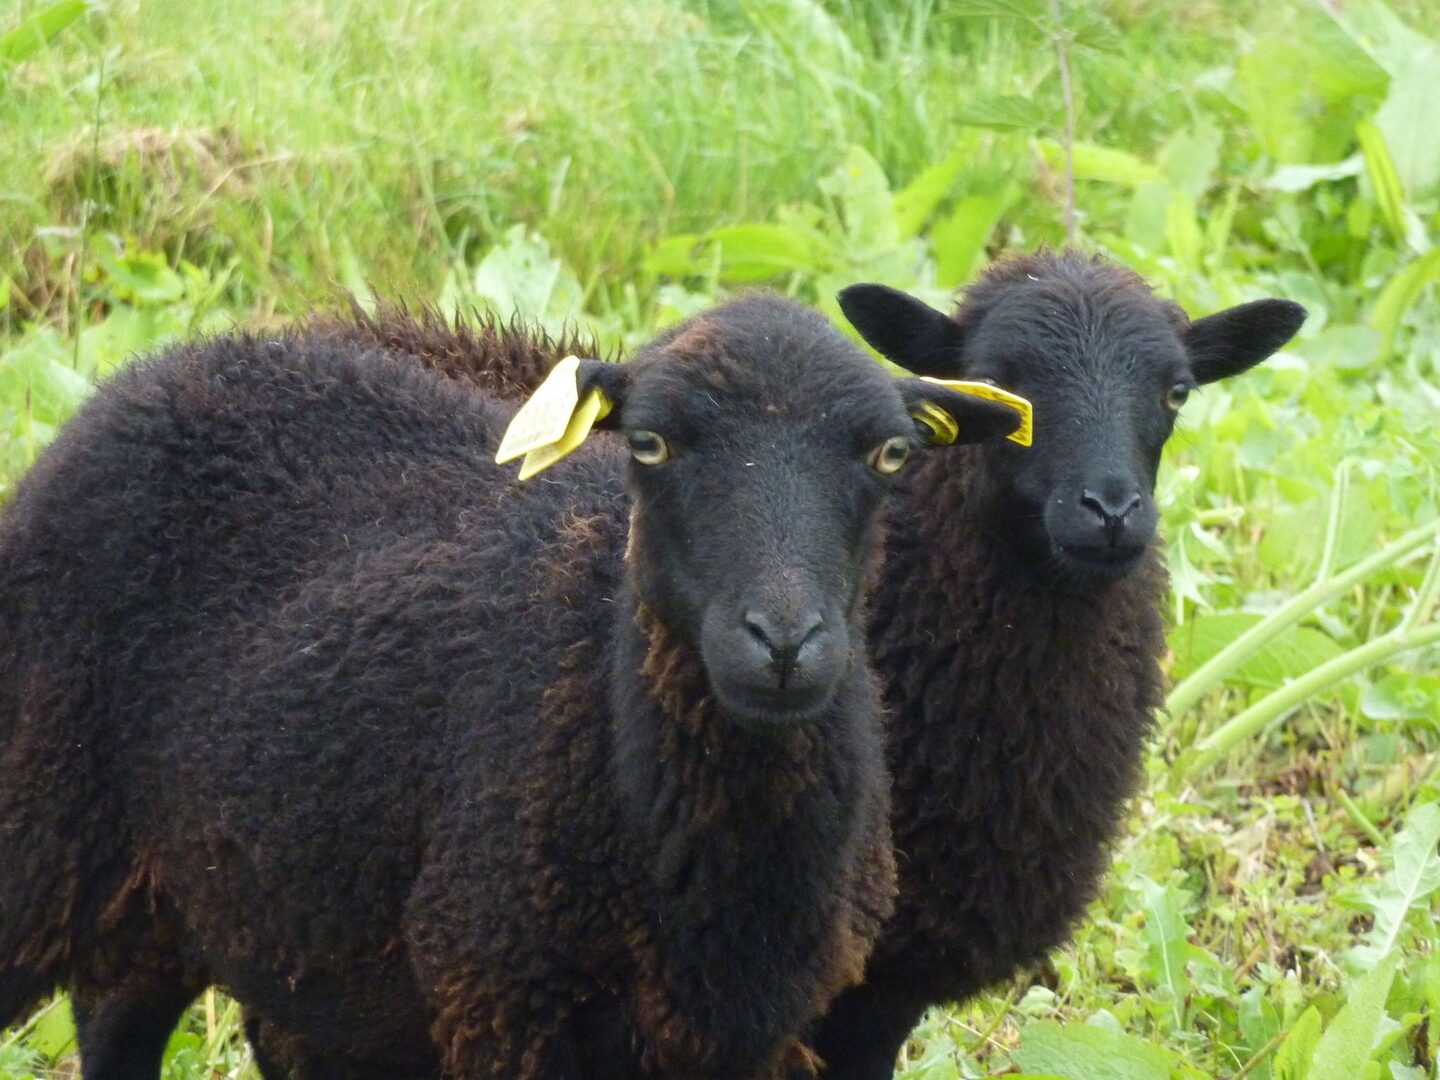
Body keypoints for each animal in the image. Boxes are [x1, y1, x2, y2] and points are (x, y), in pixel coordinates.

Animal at [0, 296, 1019, 1080]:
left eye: (890, 456)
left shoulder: (768, 1031)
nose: (782, 643)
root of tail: (161, 368)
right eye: (649, 444)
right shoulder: (505, 1003)